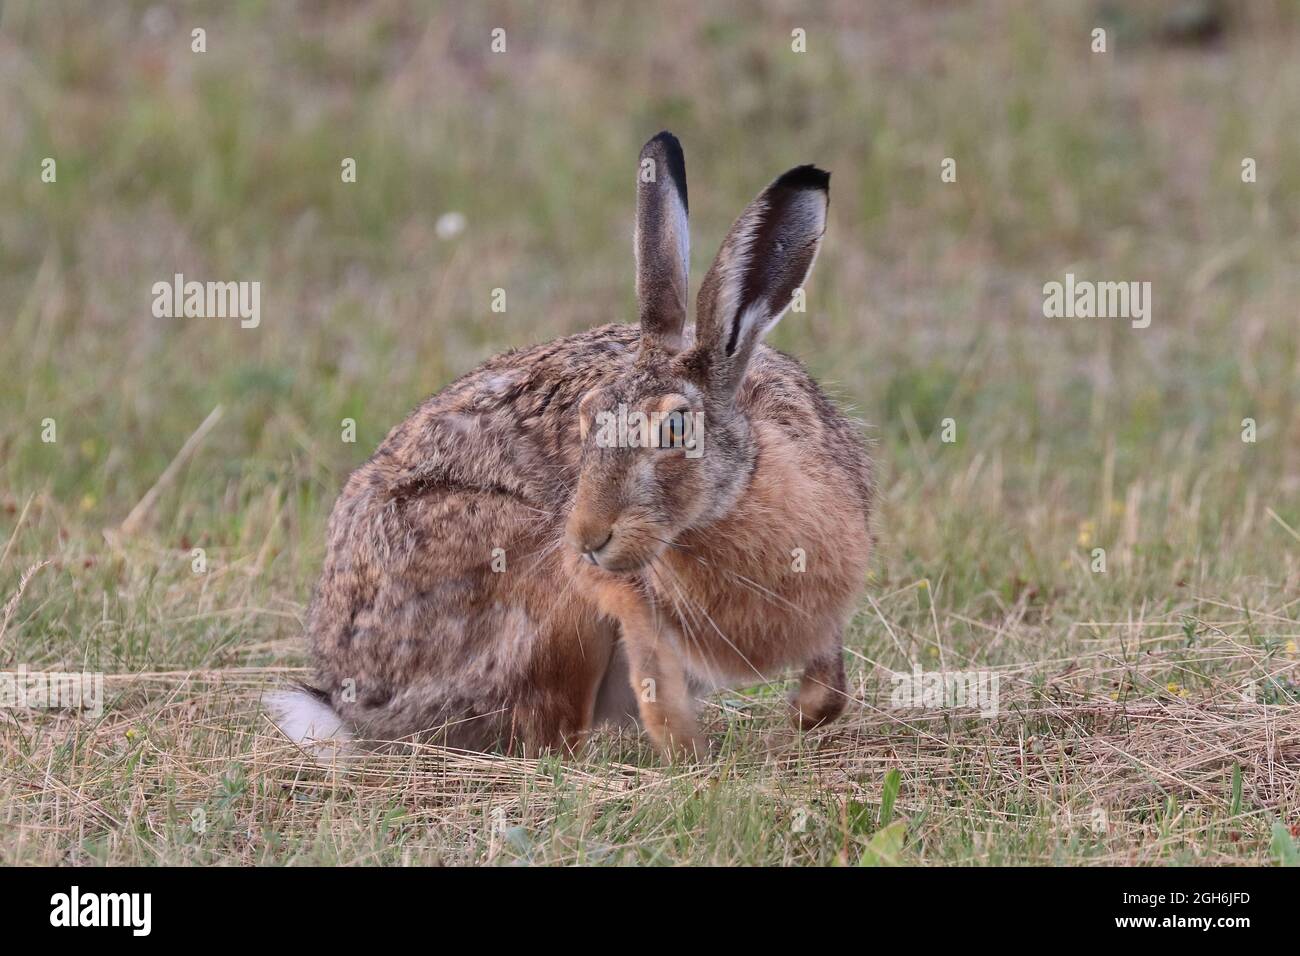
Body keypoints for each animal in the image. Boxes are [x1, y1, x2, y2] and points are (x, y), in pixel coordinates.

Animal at [267, 131, 873, 761]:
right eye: (586, 415)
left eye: (676, 430)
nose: (587, 537)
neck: (735, 494)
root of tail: (348, 695)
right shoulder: (591, 582)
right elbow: (633, 621)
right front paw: (682, 740)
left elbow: (830, 685)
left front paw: (803, 712)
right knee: (550, 736)